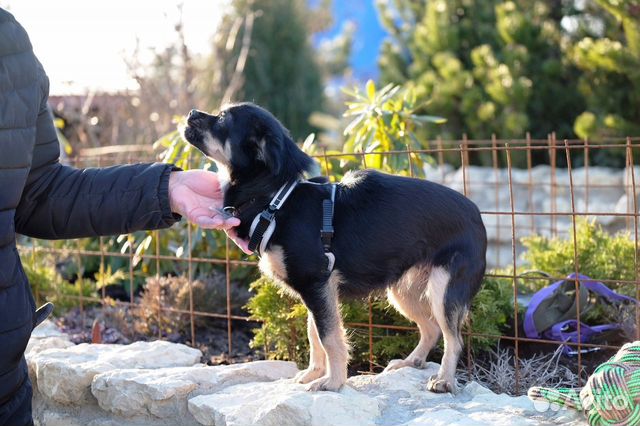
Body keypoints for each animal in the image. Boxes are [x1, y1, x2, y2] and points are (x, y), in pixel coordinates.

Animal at [180, 103, 484, 392]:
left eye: (222, 118)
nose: (191, 112)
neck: (275, 199)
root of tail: (477, 215)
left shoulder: (316, 284)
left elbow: (329, 337)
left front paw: (333, 382)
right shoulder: (318, 290)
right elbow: (314, 334)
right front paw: (314, 373)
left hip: (443, 289)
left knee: (454, 339)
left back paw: (444, 380)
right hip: (403, 291)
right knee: (431, 329)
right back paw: (411, 362)